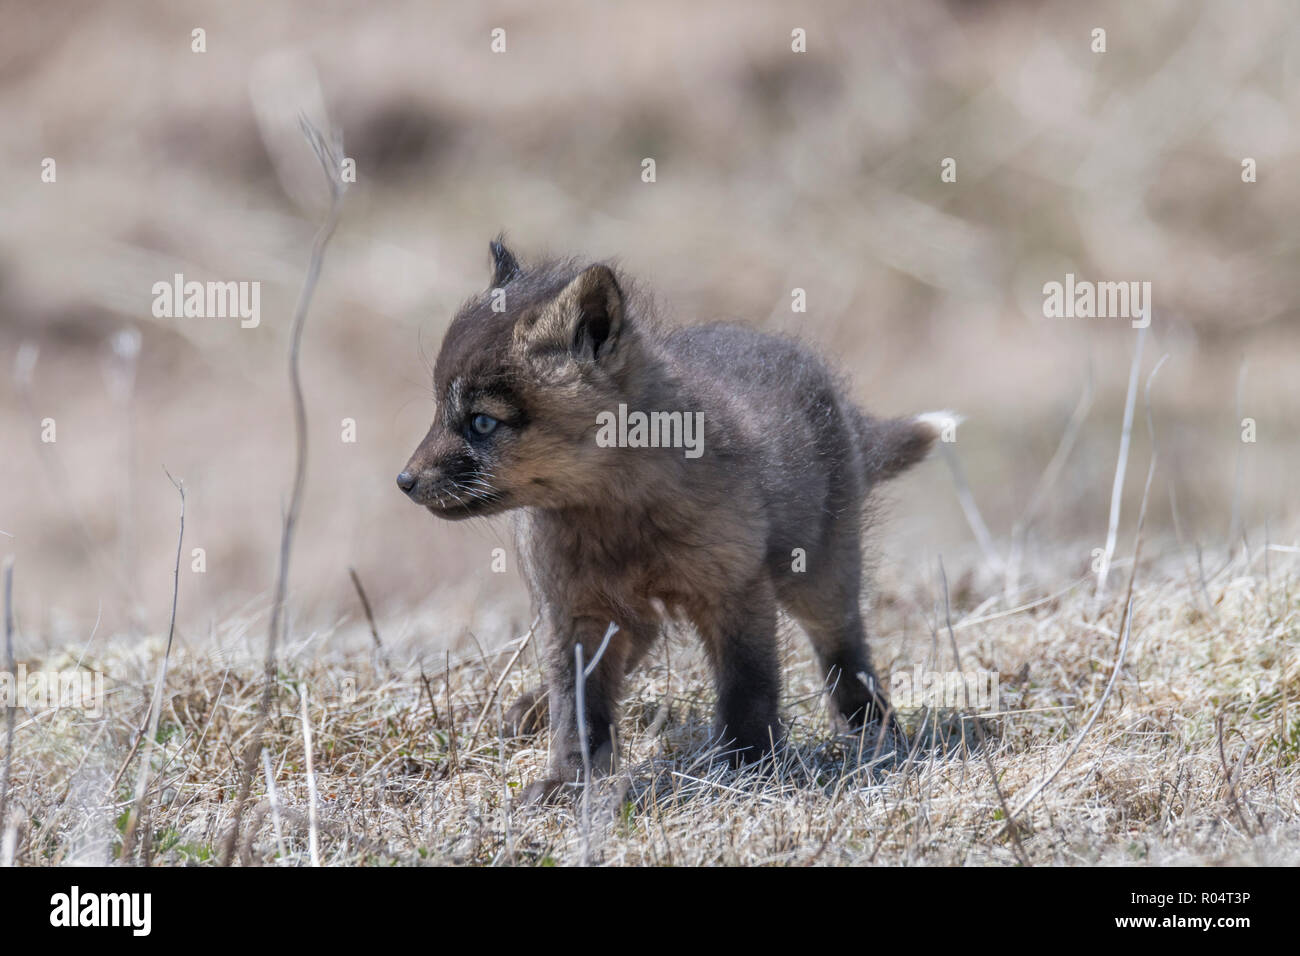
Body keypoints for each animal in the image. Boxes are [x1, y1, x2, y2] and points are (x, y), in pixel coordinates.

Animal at [398, 239, 946, 802]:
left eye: (482, 422)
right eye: (439, 411)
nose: (404, 481)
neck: (616, 517)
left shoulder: (735, 590)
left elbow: (749, 686)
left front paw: (750, 766)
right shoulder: (575, 610)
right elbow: (578, 706)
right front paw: (568, 781)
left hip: (819, 572)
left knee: (843, 642)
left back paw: (871, 725)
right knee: (639, 640)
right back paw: (532, 708)